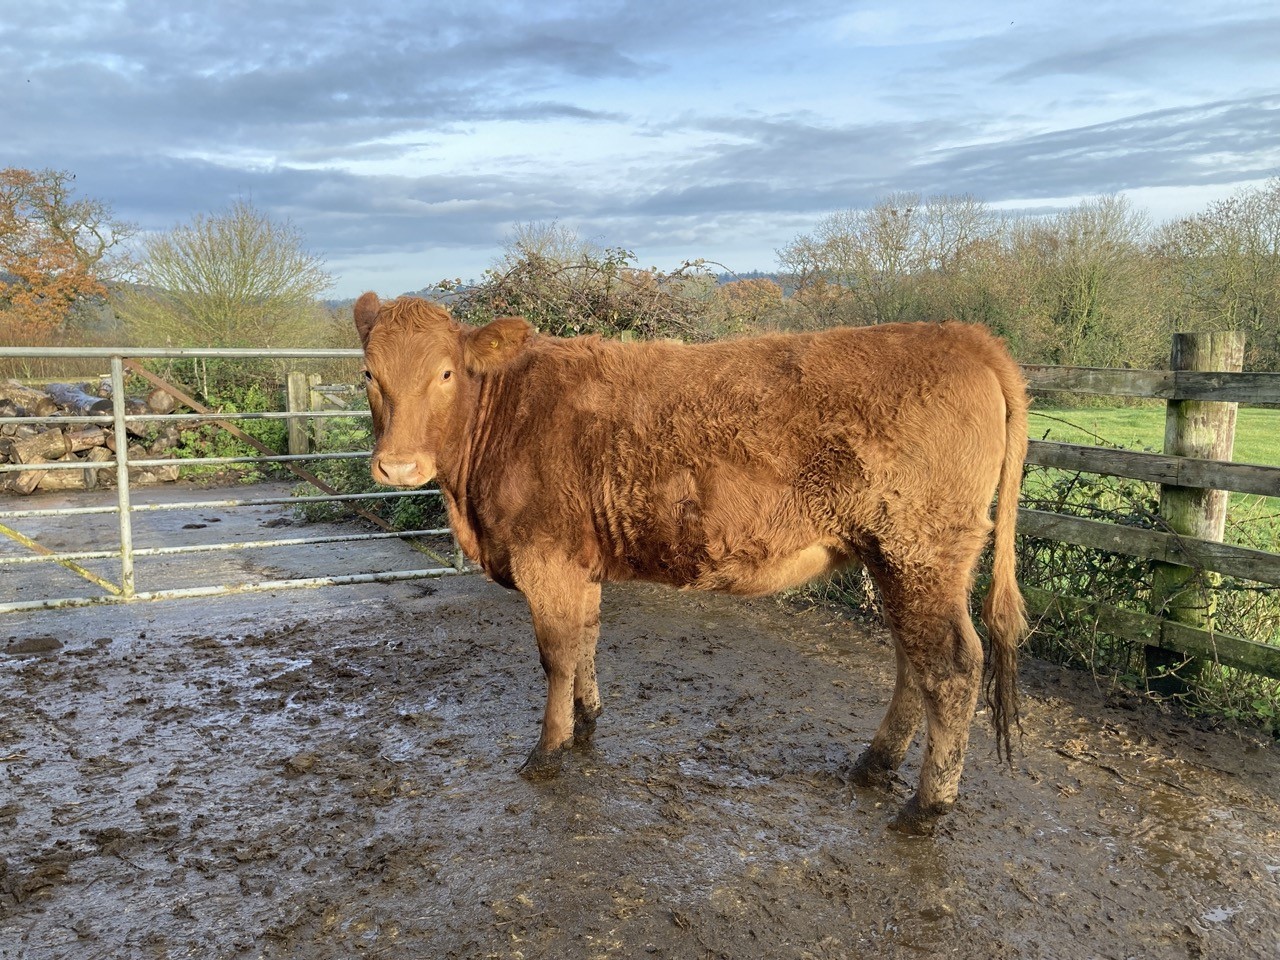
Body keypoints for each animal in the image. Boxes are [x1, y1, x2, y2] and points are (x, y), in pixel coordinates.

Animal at [354, 292, 1028, 834]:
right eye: (368, 373)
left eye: (445, 372)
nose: (398, 466)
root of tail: (962, 336)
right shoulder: (579, 562)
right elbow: (586, 640)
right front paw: (587, 719)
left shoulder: (544, 557)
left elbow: (555, 655)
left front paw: (548, 750)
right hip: (896, 560)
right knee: (914, 662)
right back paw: (874, 764)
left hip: (921, 552)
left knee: (952, 667)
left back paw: (927, 807)